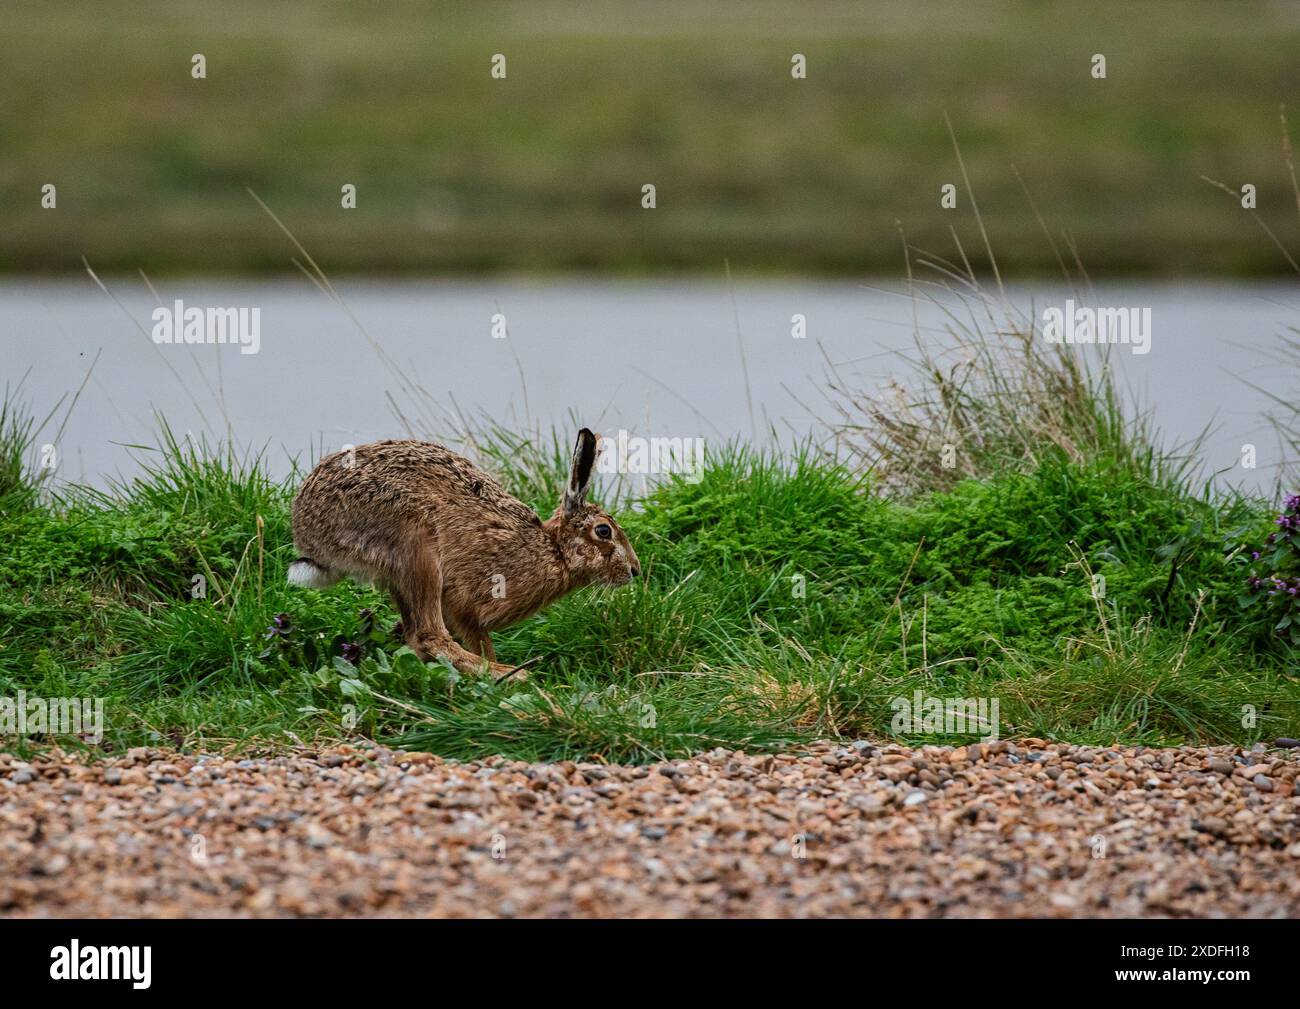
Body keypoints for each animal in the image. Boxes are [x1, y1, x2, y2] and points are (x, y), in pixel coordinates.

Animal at [288, 428, 639, 680]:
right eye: (604, 531)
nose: (634, 570)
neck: (555, 551)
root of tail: (308, 529)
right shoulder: (466, 604)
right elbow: (479, 641)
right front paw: (495, 669)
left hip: (400, 575)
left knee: (415, 635)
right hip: (417, 546)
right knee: (430, 635)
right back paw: (511, 675)